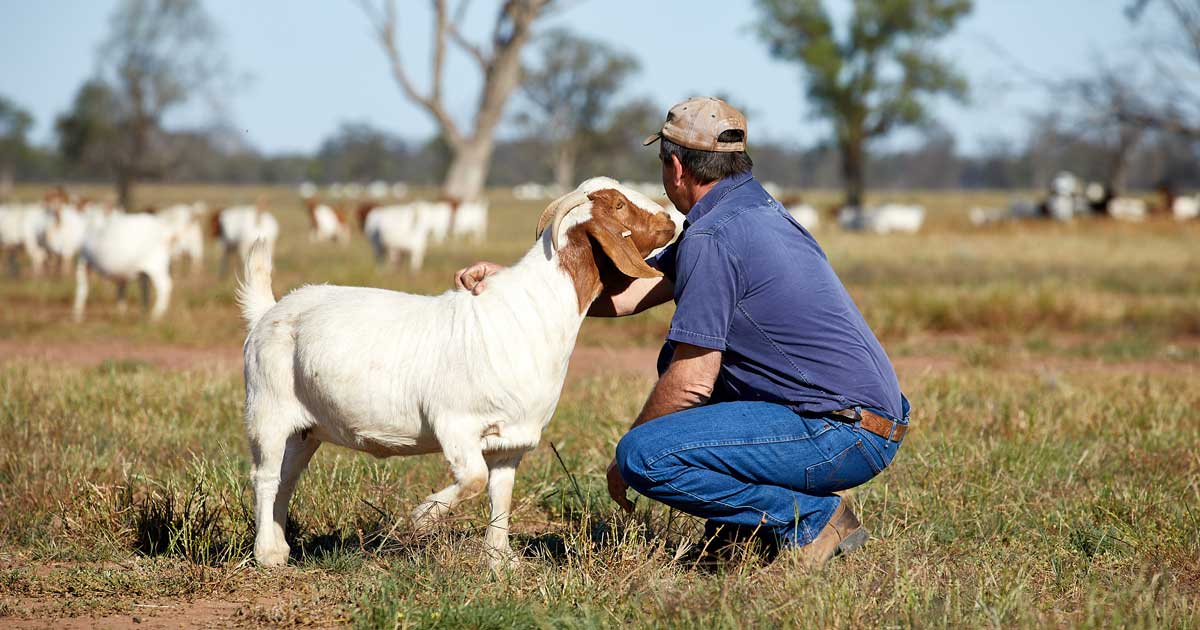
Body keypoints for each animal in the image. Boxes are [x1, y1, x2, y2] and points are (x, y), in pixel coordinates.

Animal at [237, 177, 677, 568]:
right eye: (618, 205)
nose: (673, 219)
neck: (533, 311)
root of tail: (268, 311)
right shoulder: (455, 422)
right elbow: (474, 479)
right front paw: (422, 518)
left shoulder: (513, 439)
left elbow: (500, 493)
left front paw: (500, 559)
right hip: (267, 409)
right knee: (265, 477)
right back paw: (267, 554)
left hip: (307, 428)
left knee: (286, 478)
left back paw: (280, 546)